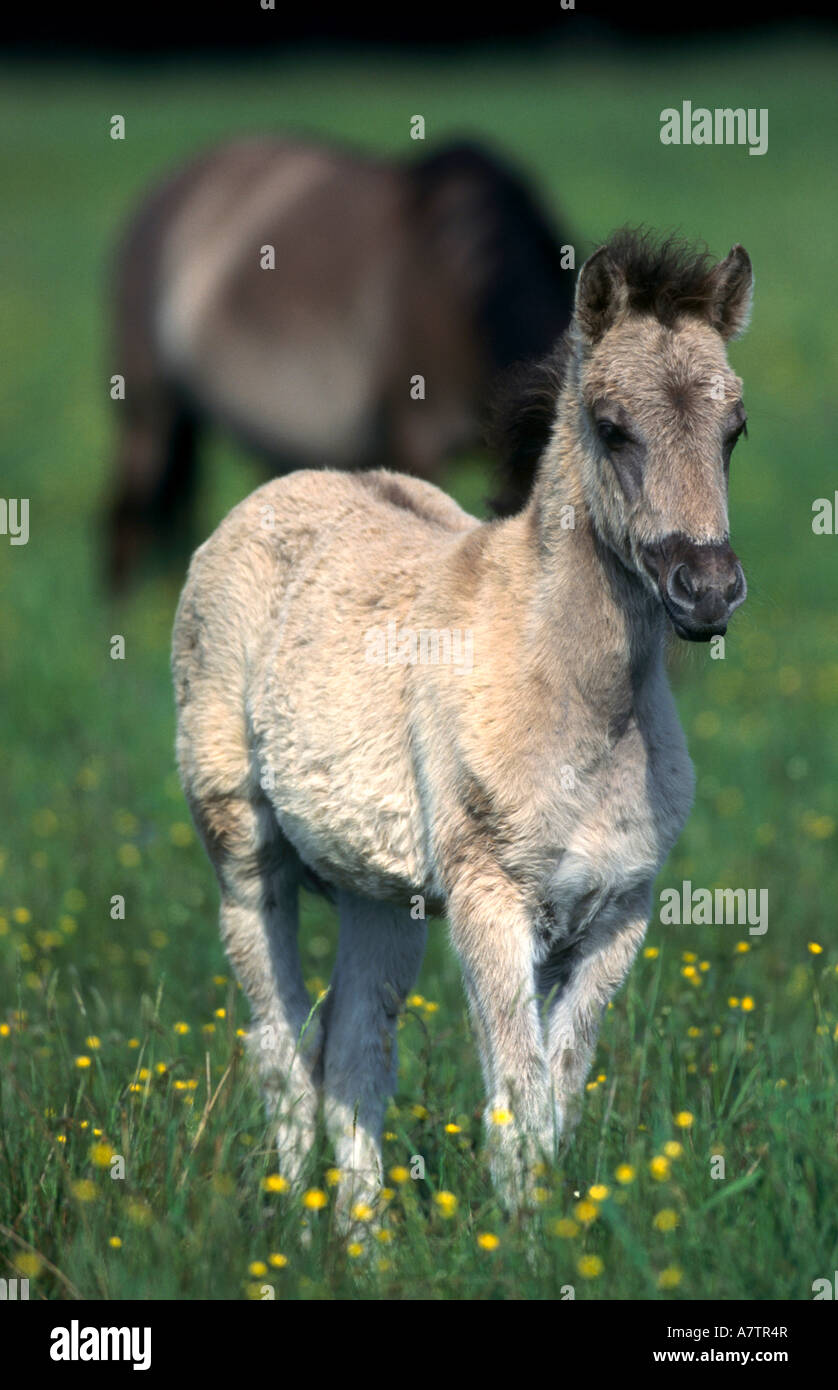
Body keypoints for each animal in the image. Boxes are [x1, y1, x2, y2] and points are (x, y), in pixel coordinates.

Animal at [171, 229, 751, 1215]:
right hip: (244, 853)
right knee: (280, 1047)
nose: (706, 592)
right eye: (612, 426)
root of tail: (274, 494)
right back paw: (295, 1219)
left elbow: (558, 1090)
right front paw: (522, 1236)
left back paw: (362, 1235)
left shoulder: (619, 911)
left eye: (734, 431)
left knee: (353, 1054)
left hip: (379, 898)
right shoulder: (491, 896)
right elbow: (516, 1097)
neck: (580, 705)